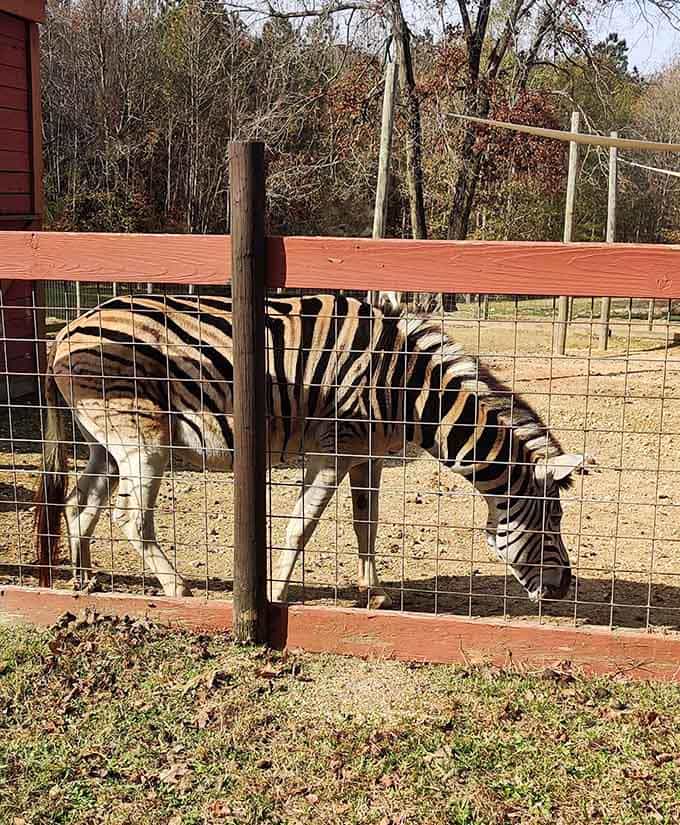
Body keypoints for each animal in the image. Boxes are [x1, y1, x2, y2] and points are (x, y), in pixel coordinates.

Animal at [33, 293, 592, 604]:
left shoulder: (368, 455)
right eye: (554, 521)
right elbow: (300, 526)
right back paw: (176, 588)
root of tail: (63, 331)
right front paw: (274, 594)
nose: (567, 587)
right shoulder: (333, 448)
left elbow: (367, 523)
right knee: (129, 516)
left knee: (82, 502)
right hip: (144, 441)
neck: (408, 389)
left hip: (107, 443)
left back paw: (84, 578)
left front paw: (374, 592)